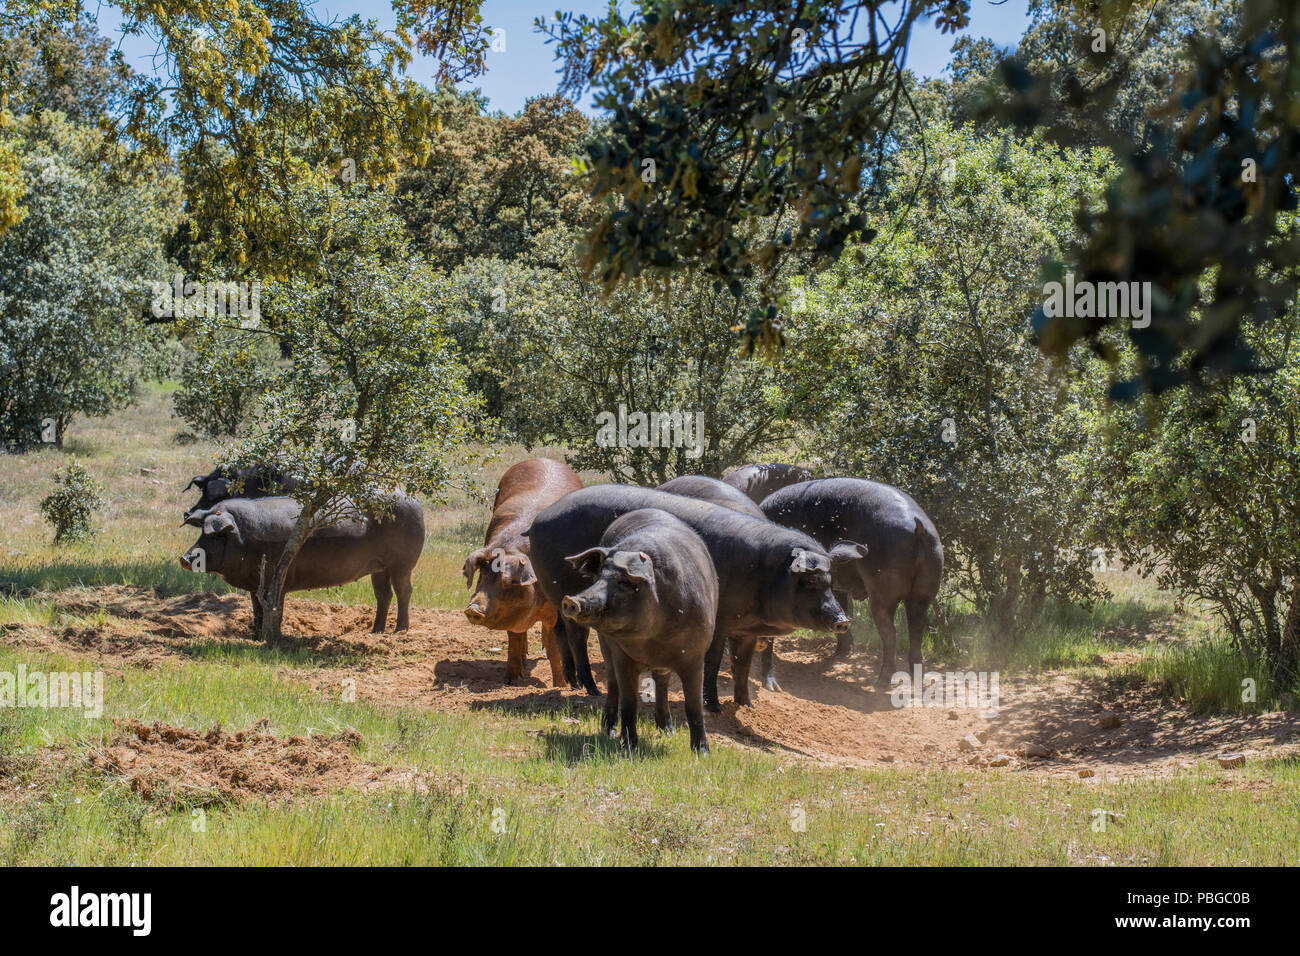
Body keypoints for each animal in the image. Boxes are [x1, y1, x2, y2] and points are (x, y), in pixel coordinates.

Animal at [179, 494, 424, 634]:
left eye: (215, 535)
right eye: (202, 533)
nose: (186, 558)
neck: (244, 537)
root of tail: (415, 502)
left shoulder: (276, 579)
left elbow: (275, 608)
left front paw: (271, 636)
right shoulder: (255, 585)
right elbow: (257, 609)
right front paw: (255, 635)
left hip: (402, 563)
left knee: (404, 591)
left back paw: (400, 631)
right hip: (379, 567)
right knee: (383, 594)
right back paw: (375, 632)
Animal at [463, 458, 583, 687]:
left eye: (506, 583)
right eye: (482, 577)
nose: (473, 608)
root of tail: (544, 459)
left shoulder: (555, 610)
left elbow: (553, 645)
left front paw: (560, 685)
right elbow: (514, 640)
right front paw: (510, 681)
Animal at [526, 485, 853, 710]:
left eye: (829, 580)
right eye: (809, 580)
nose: (844, 620)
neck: (763, 573)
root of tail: (538, 519)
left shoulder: (745, 630)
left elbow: (742, 666)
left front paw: (746, 706)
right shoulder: (720, 621)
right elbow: (712, 662)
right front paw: (714, 708)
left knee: (560, 631)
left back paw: (571, 683)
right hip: (565, 589)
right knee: (576, 635)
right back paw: (591, 689)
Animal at [561, 509, 718, 753]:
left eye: (624, 581)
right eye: (600, 576)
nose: (571, 600)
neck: (653, 638)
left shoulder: (696, 654)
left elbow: (693, 705)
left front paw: (702, 753)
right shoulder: (622, 654)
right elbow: (629, 702)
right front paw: (628, 747)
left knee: (661, 682)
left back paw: (668, 731)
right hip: (606, 646)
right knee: (613, 683)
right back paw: (608, 730)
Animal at [760, 478, 944, 685]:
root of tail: (917, 527)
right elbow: (845, 607)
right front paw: (843, 652)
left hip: (883, 588)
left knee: (890, 631)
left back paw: (882, 681)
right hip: (927, 586)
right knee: (916, 627)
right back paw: (917, 678)